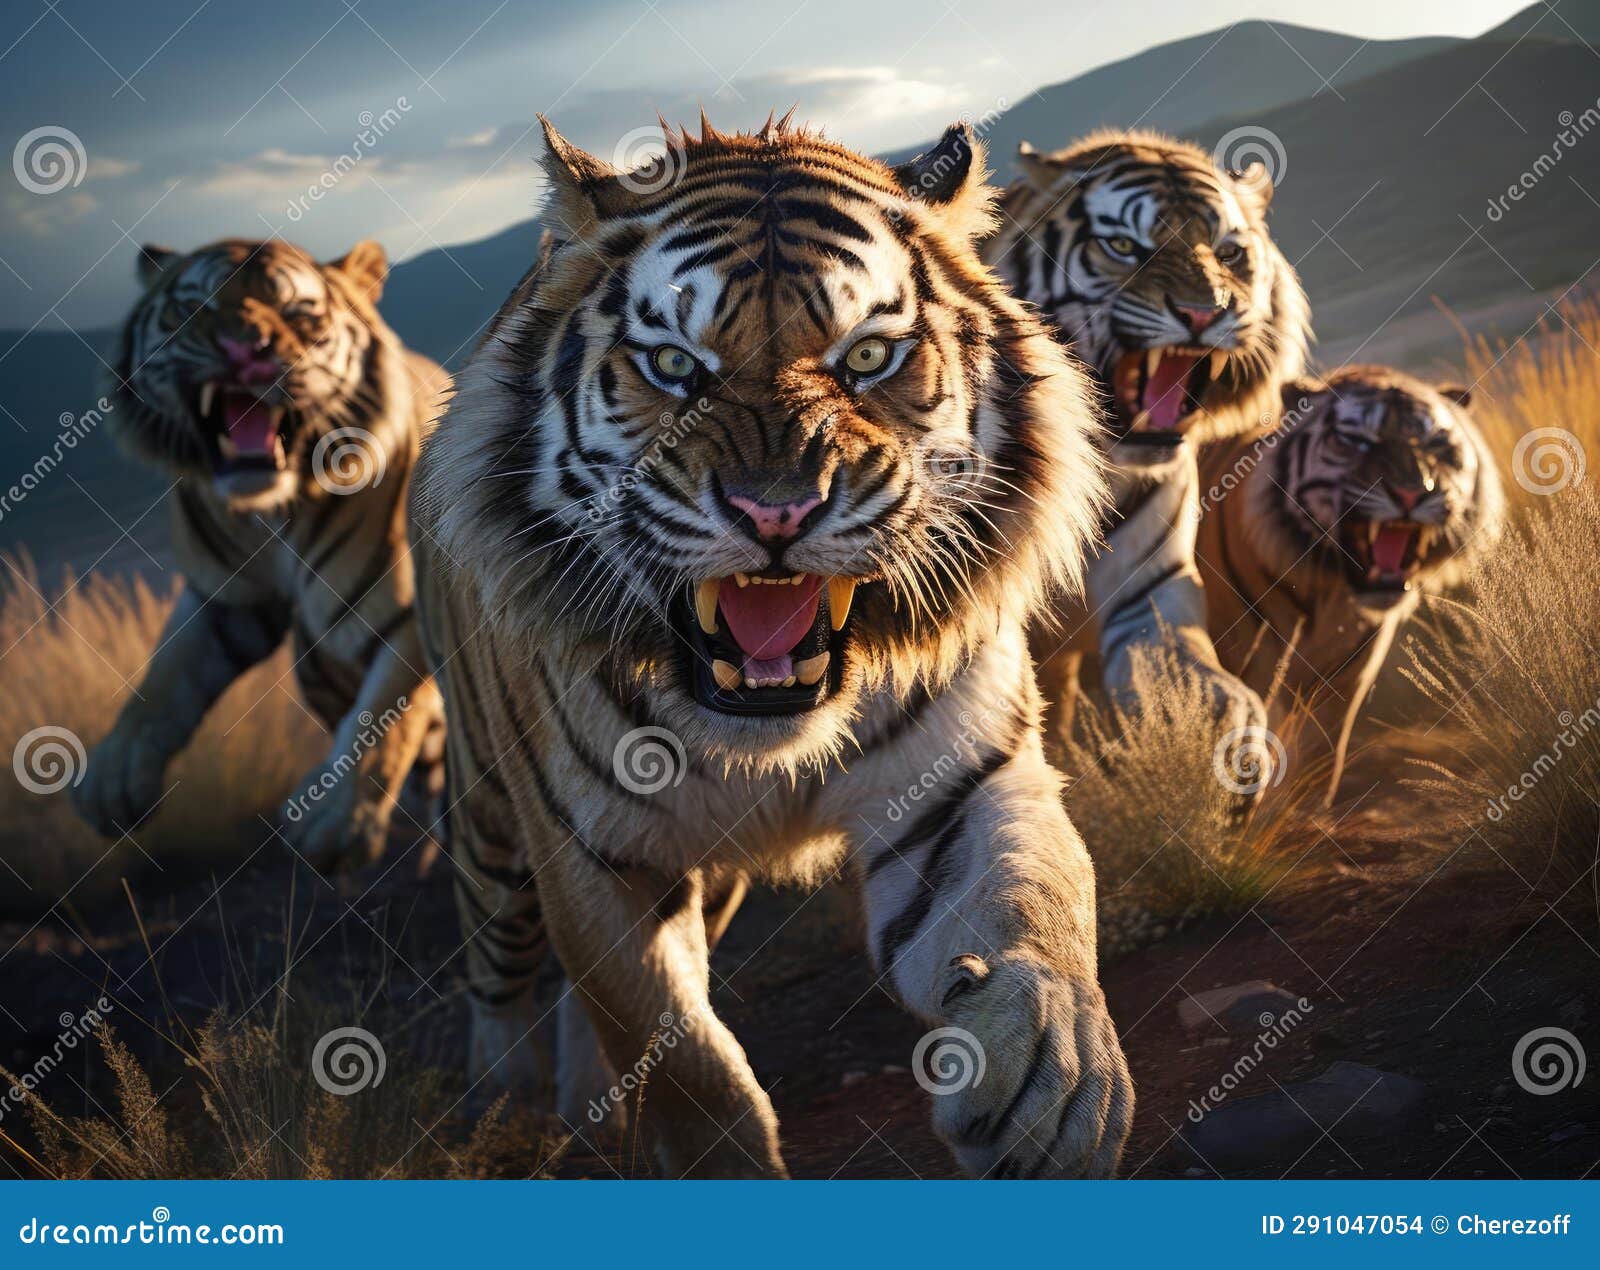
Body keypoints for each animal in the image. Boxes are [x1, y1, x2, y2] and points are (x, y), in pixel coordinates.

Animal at [72, 237, 447, 871]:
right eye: (192, 307)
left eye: (299, 311)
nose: (242, 348)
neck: (271, 514)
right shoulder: (223, 601)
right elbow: (164, 679)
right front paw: (115, 774)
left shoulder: (404, 611)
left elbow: (383, 716)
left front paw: (336, 820)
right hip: (318, 665)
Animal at [410, 114, 1134, 1179]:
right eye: (676, 368)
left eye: (867, 356)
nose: (777, 512)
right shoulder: (593, 857)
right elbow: (682, 1064)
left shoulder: (962, 781)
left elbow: (1039, 900)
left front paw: (1049, 1088)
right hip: (493, 826)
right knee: (498, 975)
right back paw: (509, 1112)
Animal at [982, 129, 1311, 747]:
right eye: (1124, 247)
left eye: (1228, 254)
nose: (1204, 313)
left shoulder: (1149, 590)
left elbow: (1186, 676)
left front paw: (1223, 737)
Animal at [1194, 365, 1504, 800]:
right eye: (1354, 441)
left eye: (1436, 444)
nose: (1413, 492)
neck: (1327, 589)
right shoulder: (1239, 659)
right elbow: (1241, 751)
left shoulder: (1345, 674)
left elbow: (1321, 757)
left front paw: (1303, 811)